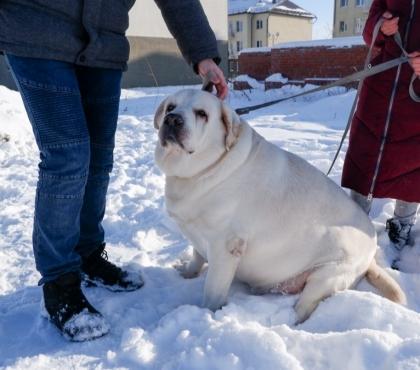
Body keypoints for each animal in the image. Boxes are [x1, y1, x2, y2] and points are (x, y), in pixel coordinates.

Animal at [154, 88, 406, 322]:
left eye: (202, 114)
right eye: (170, 107)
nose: (172, 119)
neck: (204, 171)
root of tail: (372, 248)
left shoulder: (225, 247)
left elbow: (212, 292)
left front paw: (206, 313)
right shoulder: (199, 235)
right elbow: (197, 256)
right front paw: (187, 273)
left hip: (326, 276)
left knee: (304, 308)